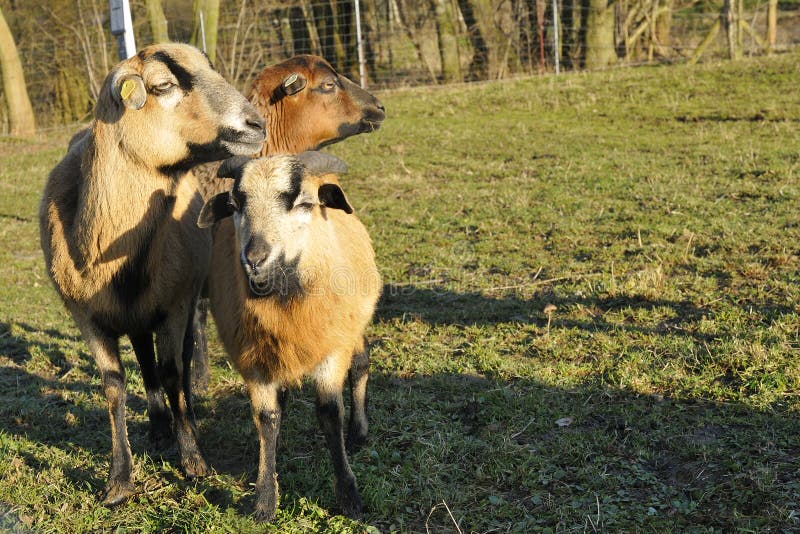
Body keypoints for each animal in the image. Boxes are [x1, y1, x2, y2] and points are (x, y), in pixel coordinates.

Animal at [38, 43, 266, 506]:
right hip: (138, 315)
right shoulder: (86, 317)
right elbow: (114, 385)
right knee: (145, 360)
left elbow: (174, 372)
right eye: (162, 86)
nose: (256, 124)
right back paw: (160, 427)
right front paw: (118, 481)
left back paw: (185, 422)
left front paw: (193, 460)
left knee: (178, 361)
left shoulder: (175, 305)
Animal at [197, 152, 381, 520]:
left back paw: (359, 431)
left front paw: (349, 497)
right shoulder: (252, 358)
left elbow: (330, 413)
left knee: (361, 361)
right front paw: (265, 501)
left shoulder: (332, 350)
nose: (255, 259)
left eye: (304, 203)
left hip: (350, 328)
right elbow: (266, 419)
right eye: (235, 204)